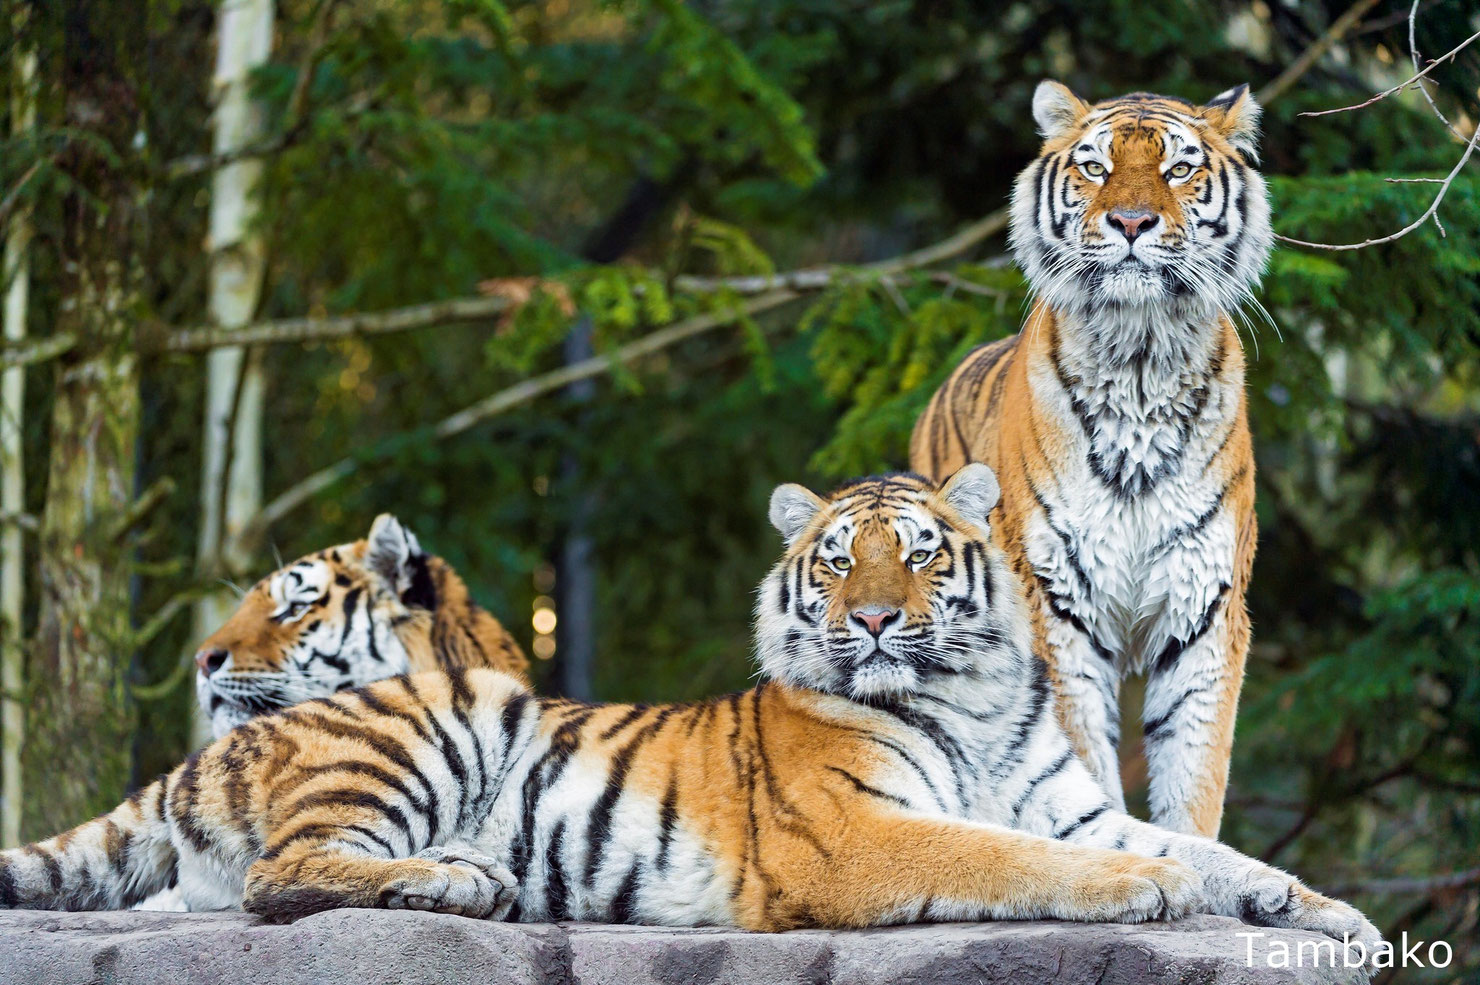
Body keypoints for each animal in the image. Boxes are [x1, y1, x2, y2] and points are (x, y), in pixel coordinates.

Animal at [911, 81, 1272, 839]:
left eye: (1178, 169)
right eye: (1096, 168)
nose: (1131, 222)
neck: (1139, 362)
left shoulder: (1205, 608)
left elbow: (1194, 775)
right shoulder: (1055, 608)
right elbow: (1078, 761)